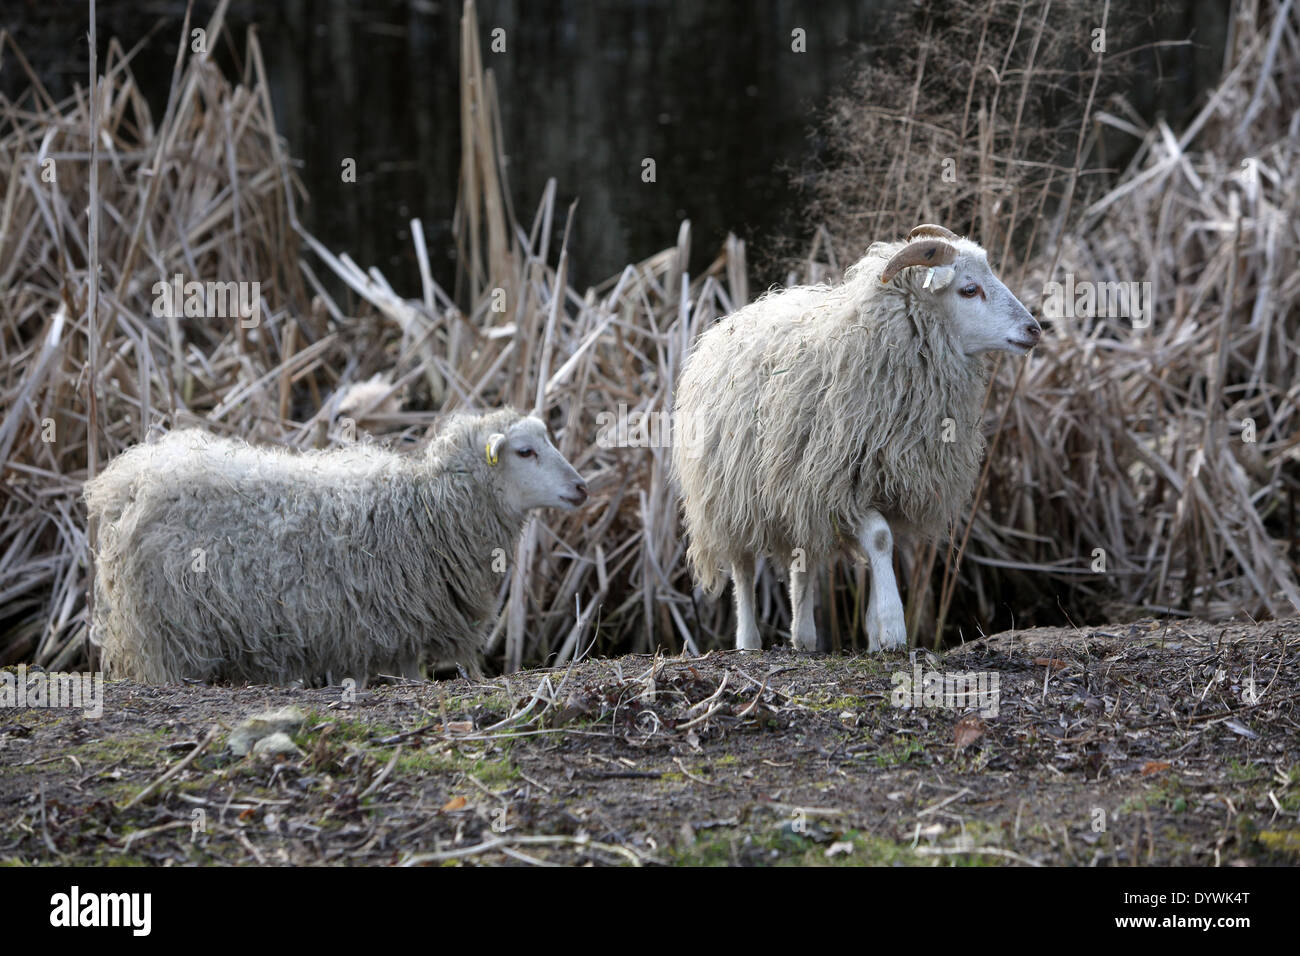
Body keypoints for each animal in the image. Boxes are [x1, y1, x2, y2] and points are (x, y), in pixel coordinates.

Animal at [84, 409, 588, 685]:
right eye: (525, 452)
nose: (582, 487)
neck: (429, 511)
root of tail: (130, 480)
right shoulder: (383, 625)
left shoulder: (399, 628)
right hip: (169, 629)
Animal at [671, 224, 1041, 653]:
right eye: (969, 289)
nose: (1034, 329)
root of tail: (735, 317)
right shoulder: (841, 481)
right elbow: (879, 540)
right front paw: (893, 629)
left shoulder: (886, 483)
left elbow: (881, 547)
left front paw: (875, 634)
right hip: (729, 493)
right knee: (743, 567)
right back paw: (748, 640)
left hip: (792, 487)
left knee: (804, 560)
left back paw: (804, 637)